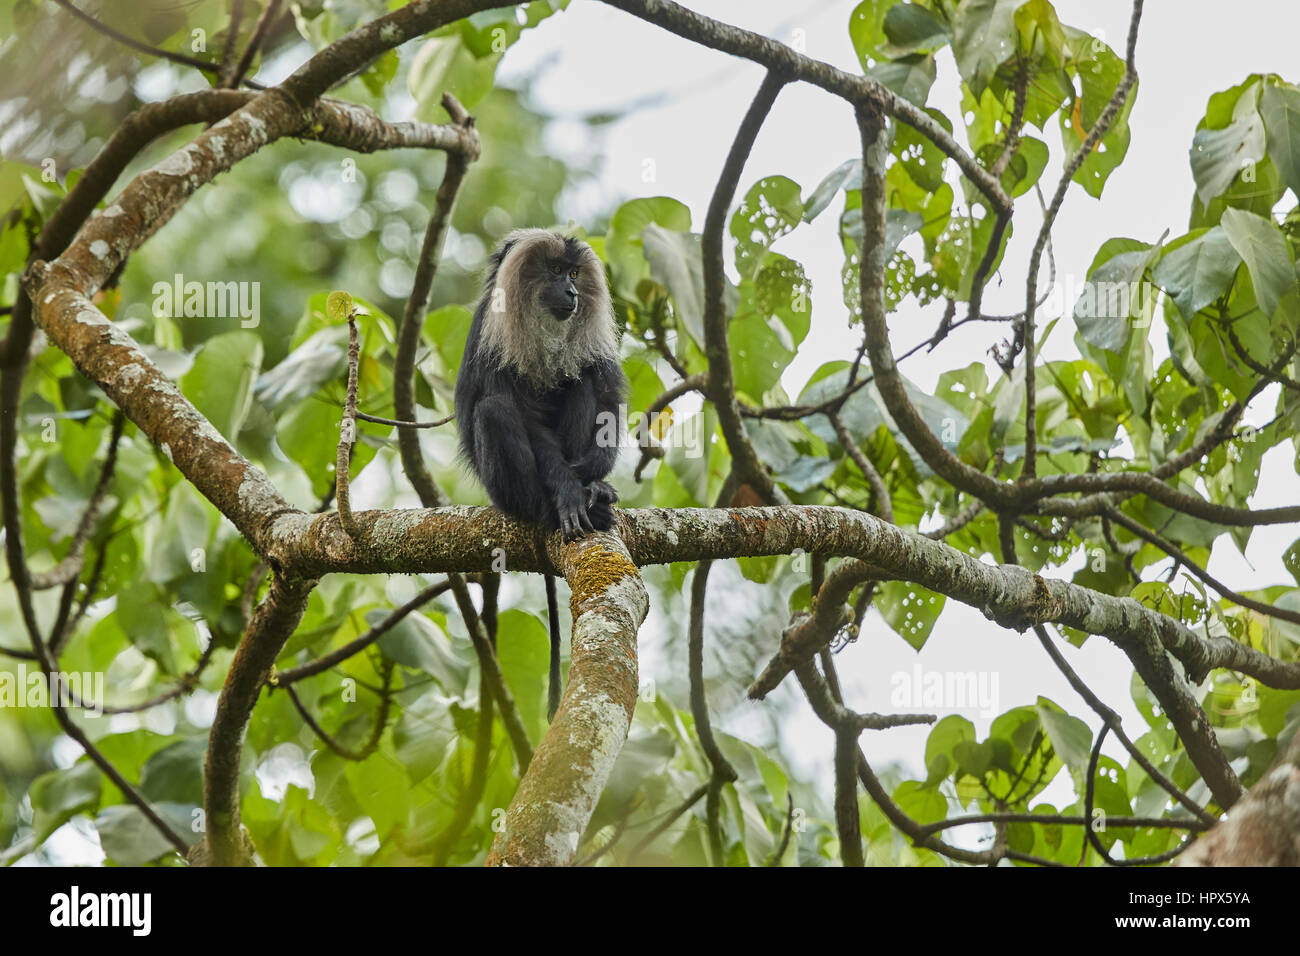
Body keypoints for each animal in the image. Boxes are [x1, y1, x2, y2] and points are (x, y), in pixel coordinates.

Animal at [454, 228, 627, 720]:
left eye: (574, 274)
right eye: (554, 271)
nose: (572, 292)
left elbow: (605, 393)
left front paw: (592, 481)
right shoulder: (493, 334)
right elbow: (520, 415)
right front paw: (569, 492)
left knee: (584, 379)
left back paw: (596, 494)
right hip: (506, 489)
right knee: (493, 410)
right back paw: (551, 507)